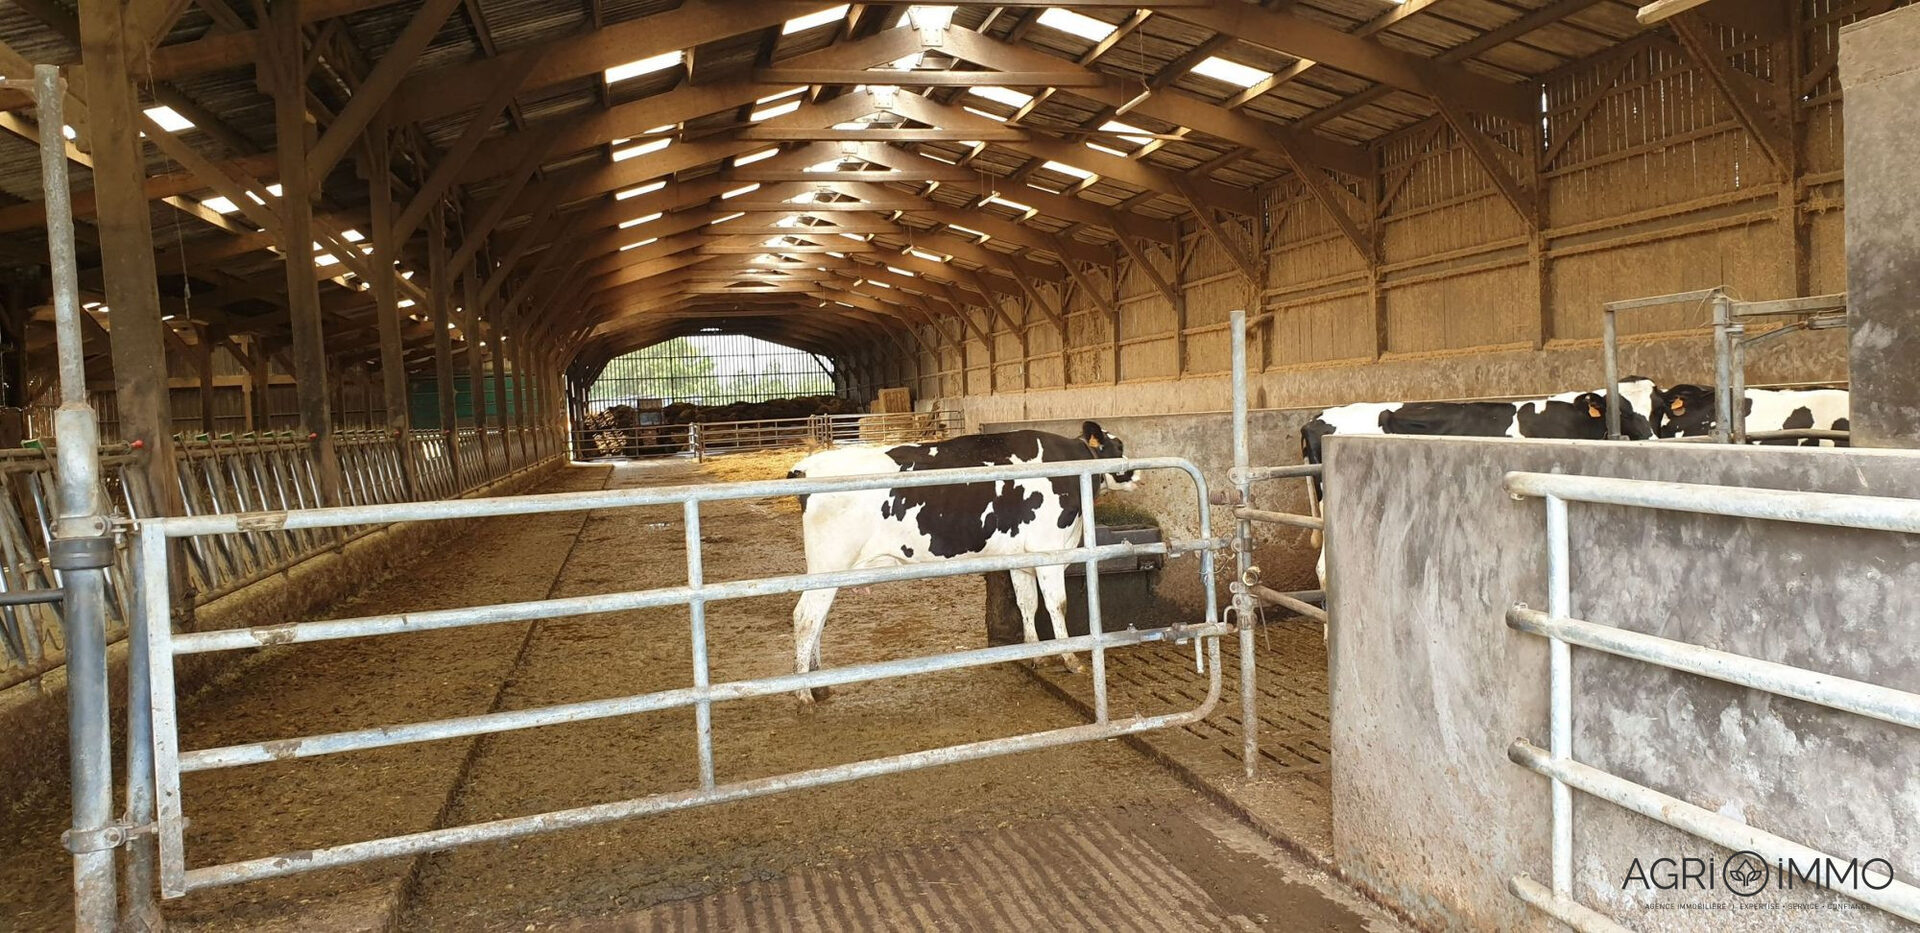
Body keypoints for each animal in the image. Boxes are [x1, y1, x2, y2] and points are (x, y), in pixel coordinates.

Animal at [783, 420, 1128, 698]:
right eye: (1119, 446)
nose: (1134, 470)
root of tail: (808, 466)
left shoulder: (1023, 556)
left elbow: (1027, 604)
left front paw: (1036, 653)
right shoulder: (1050, 551)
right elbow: (1058, 604)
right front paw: (1070, 660)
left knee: (818, 618)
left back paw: (821, 686)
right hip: (829, 563)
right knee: (806, 617)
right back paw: (804, 695)